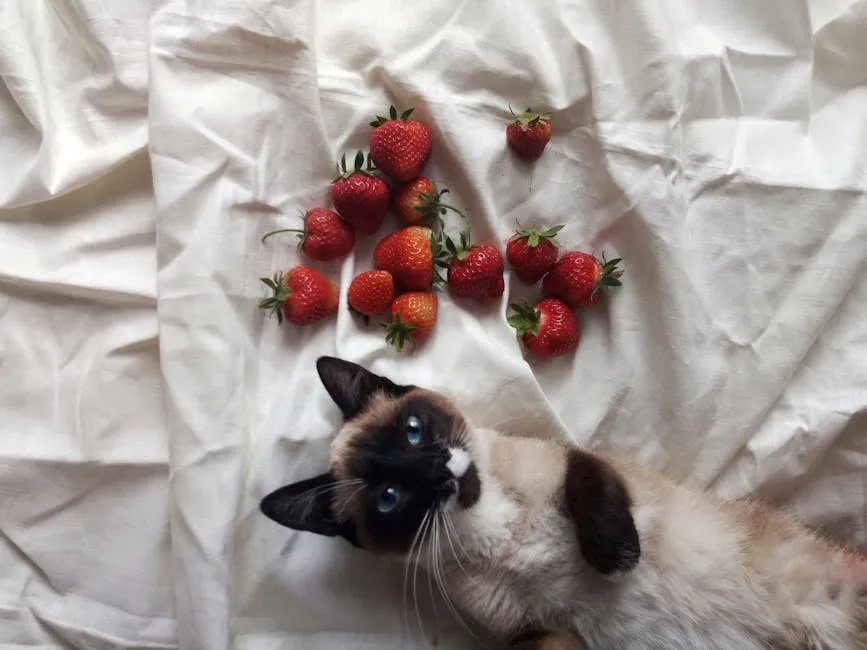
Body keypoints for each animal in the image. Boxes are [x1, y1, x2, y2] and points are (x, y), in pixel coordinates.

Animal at [260, 356, 867, 644]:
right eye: (390, 498)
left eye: (413, 431)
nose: (437, 473)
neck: (496, 528)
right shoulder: (543, 634)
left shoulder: (581, 462)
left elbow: (585, 479)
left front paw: (616, 557)